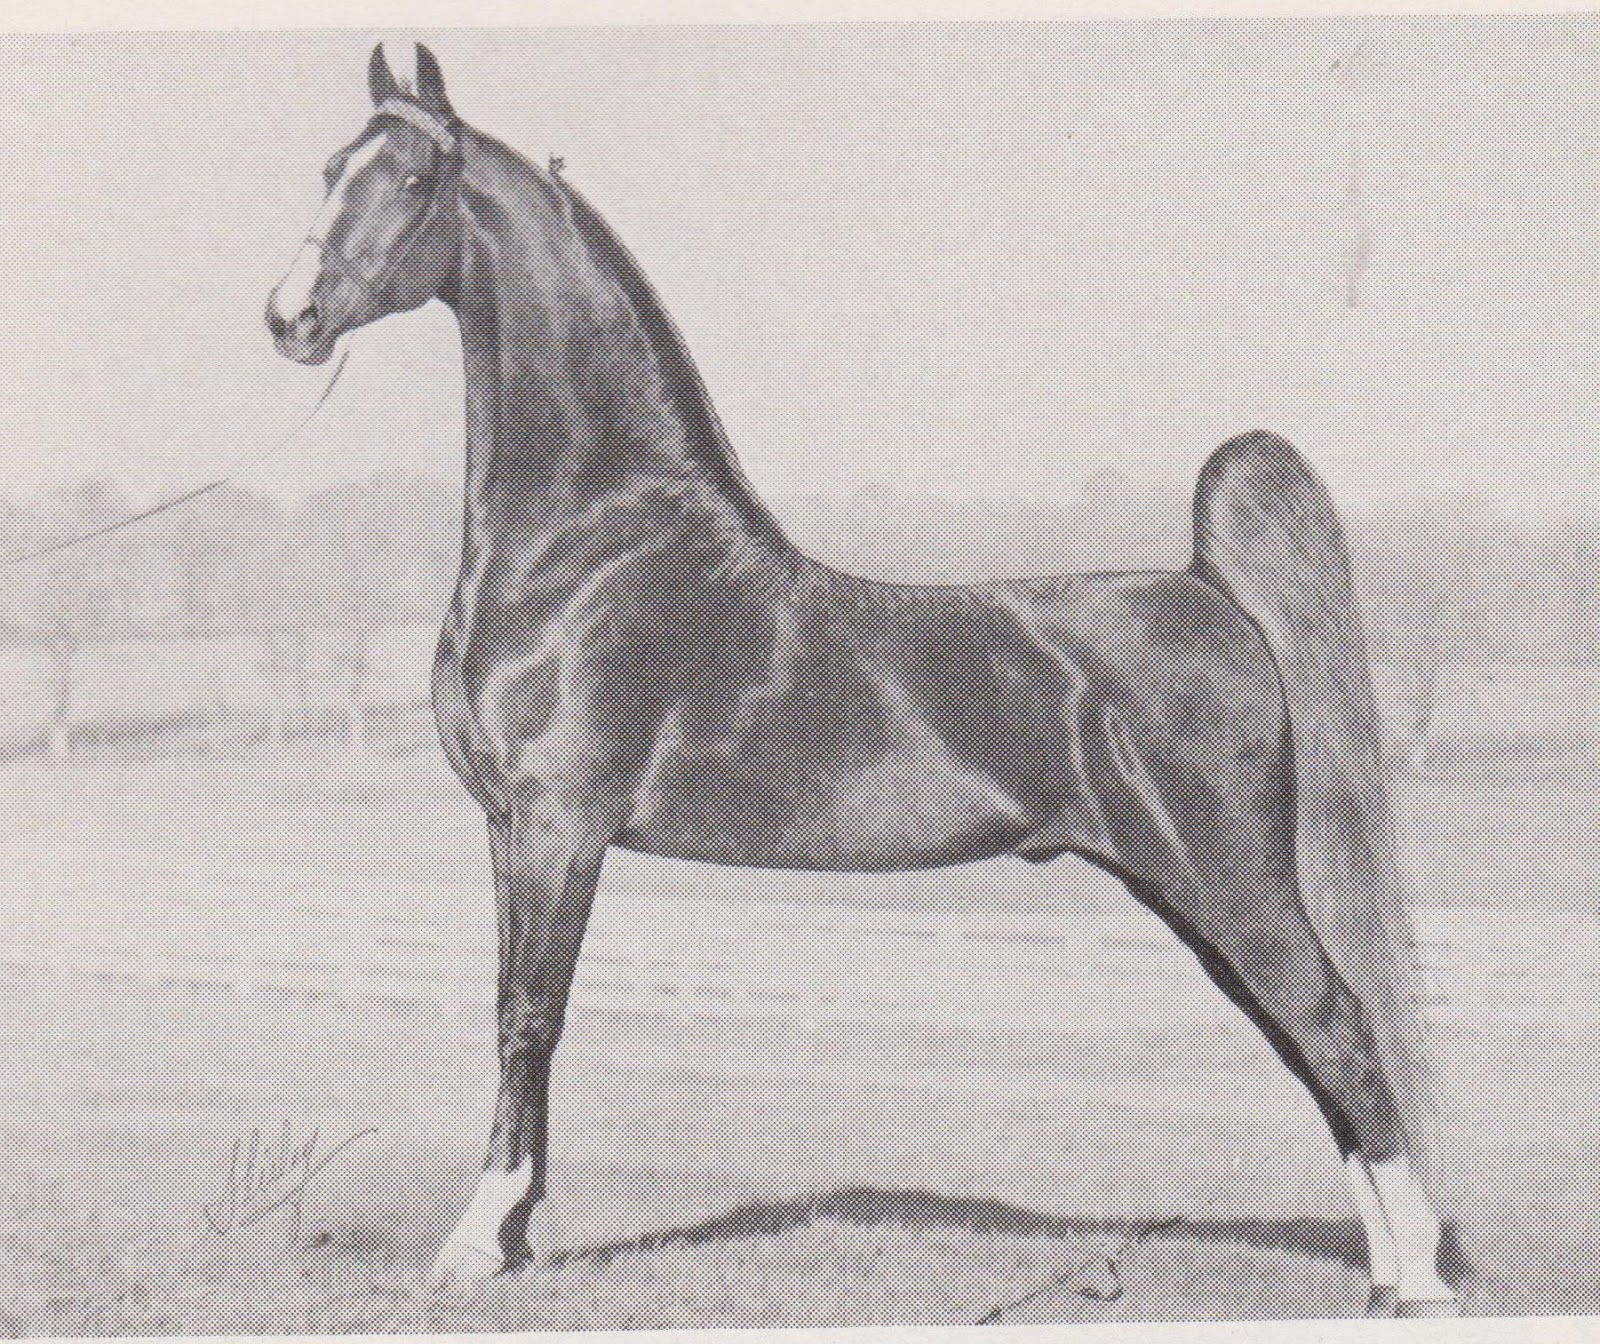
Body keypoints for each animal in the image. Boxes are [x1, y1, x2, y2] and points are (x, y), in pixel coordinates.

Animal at [265, 43, 1458, 1317]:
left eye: (409, 179)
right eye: (332, 167)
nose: (291, 317)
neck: (590, 547)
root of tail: (1205, 585)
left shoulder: (557, 825)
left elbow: (528, 1015)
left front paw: (475, 1242)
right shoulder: (505, 829)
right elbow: (515, 1010)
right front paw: (517, 1235)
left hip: (1226, 879)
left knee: (1335, 1023)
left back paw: (1422, 1284)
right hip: (1187, 891)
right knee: (1308, 1044)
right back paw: (1385, 1277)